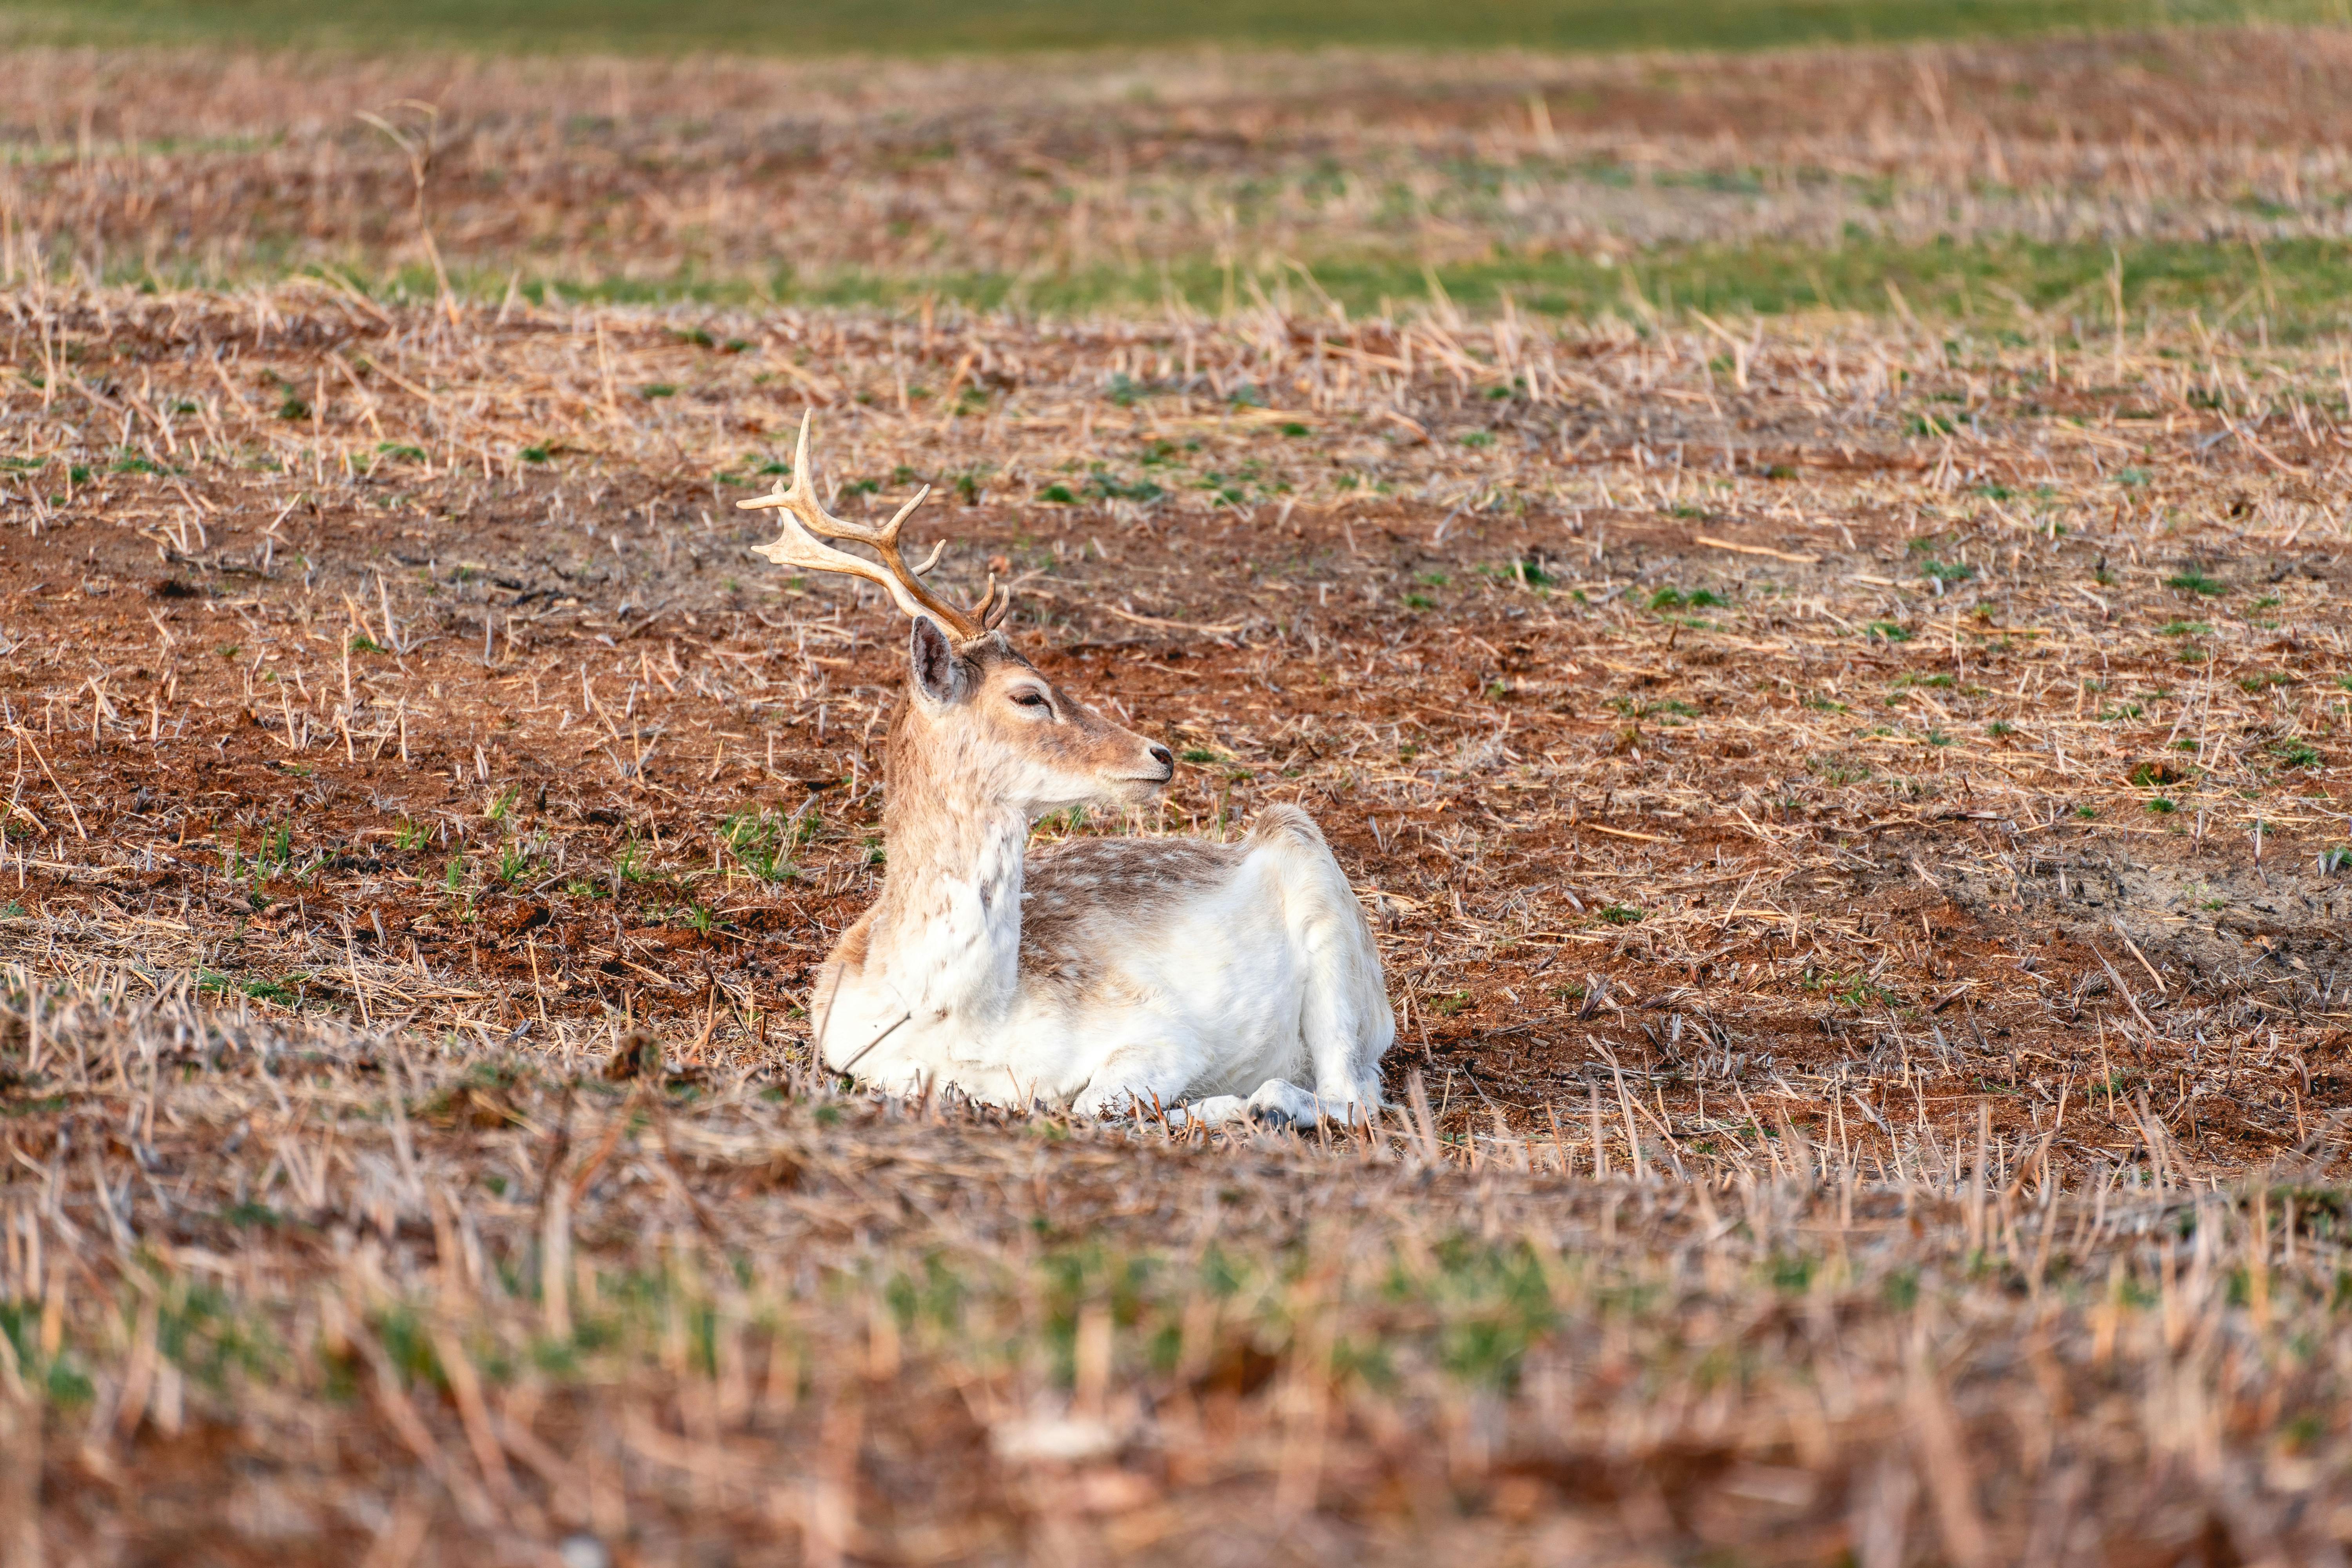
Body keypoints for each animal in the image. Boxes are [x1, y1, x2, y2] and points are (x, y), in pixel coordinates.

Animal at [739, 413, 1393, 1128]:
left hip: (1323, 904)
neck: (962, 1025)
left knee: (1355, 1095)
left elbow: (1092, 1106)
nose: (1160, 755)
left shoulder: (1164, 1032)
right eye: (1030, 695)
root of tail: (1388, 1015)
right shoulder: (853, 1057)